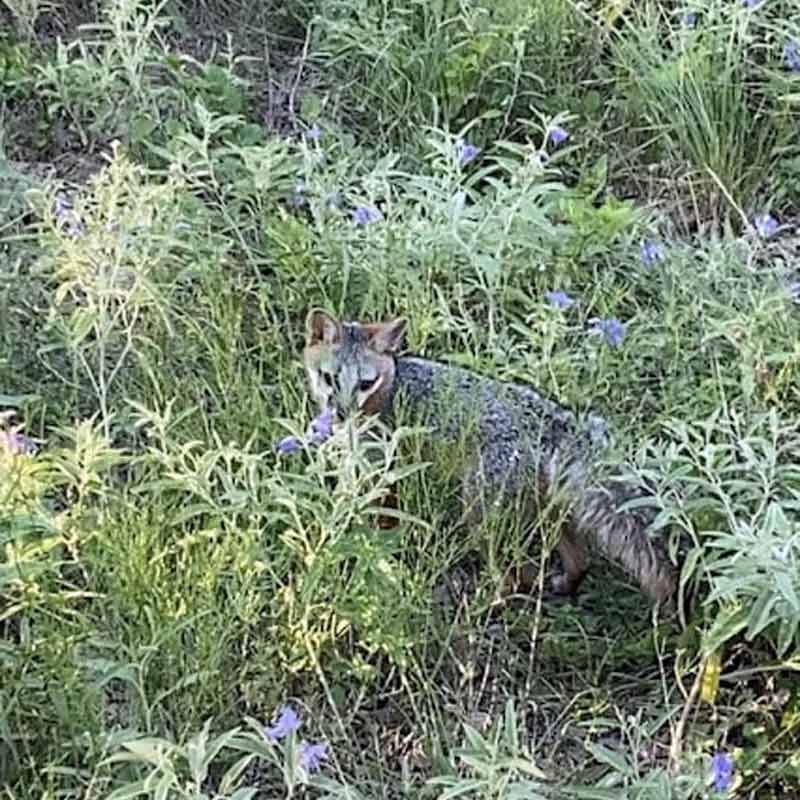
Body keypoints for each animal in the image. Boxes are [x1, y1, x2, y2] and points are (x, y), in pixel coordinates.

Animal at [303, 308, 677, 605]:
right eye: (329, 378)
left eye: (365, 383)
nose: (341, 414)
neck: (391, 385)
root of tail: (557, 421)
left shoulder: (380, 473)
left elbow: (367, 518)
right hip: (552, 514)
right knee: (579, 562)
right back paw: (561, 587)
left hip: (481, 515)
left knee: (514, 578)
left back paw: (483, 601)